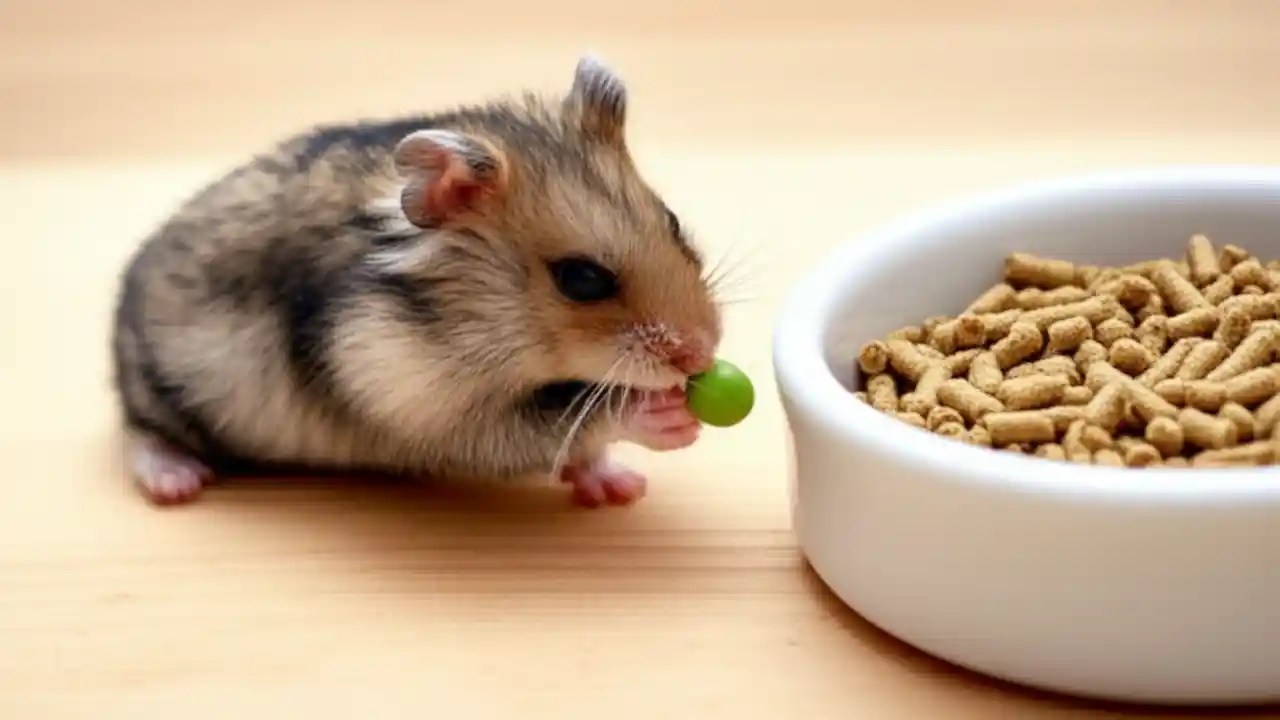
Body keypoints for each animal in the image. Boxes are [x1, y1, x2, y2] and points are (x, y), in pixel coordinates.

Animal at [111, 55, 722, 508]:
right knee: (140, 432)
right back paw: (177, 482)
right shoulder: (423, 411)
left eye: (672, 222)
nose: (701, 354)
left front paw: (625, 486)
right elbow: (563, 422)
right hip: (162, 393)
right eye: (581, 279)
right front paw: (665, 418)